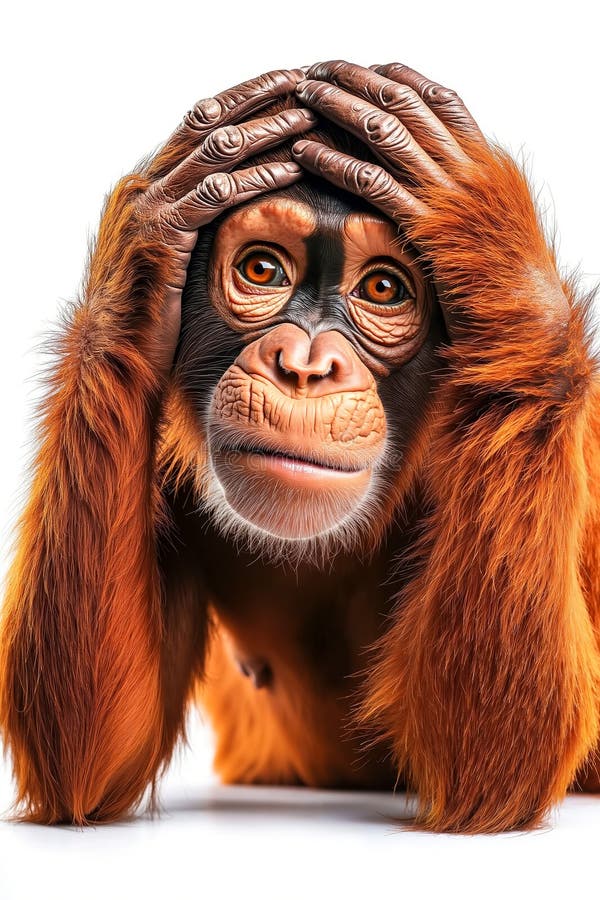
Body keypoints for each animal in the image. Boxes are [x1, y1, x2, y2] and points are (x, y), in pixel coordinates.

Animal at [1, 60, 600, 835]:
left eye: (383, 287)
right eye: (263, 270)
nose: (306, 365)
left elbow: (488, 769)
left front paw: (484, 236)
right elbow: (90, 761)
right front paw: (146, 255)